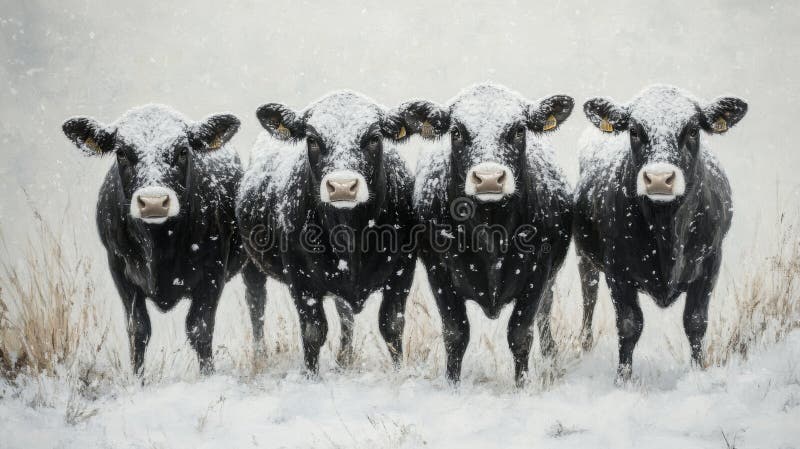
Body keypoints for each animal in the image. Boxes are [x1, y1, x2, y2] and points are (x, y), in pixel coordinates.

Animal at [62, 105, 267, 376]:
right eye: (121, 153)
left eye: (182, 151)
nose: (153, 202)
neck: (159, 246)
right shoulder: (119, 268)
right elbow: (138, 330)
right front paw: (138, 380)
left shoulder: (213, 271)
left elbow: (200, 328)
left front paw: (208, 376)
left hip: (252, 263)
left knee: (256, 304)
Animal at [236, 90, 417, 375]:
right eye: (312, 139)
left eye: (374, 138)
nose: (342, 186)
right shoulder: (300, 279)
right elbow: (313, 332)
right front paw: (312, 377)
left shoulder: (402, 271)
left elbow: (392, 326)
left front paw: (400, 373)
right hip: (251, 263)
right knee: (256, 305)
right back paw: (260, 357)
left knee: (345, 312)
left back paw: (345, 358)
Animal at [402, 84, 574, 386]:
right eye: (456, 131)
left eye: (519, 129)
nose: (490, 178)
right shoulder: (438, 272)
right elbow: (456, 333)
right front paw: (452, 385)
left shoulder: (539, 272)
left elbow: (520, 334)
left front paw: (522, 386)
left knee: (544, 317)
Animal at [574, 85, 747, 383]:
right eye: (634, 130)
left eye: (692, 129)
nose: (658, 178)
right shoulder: (616, 270)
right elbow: (629, 324)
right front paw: (623, 380)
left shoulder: (710, 262)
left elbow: (696, 322)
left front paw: (697, 372)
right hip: (585, 258)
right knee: (589, 298)